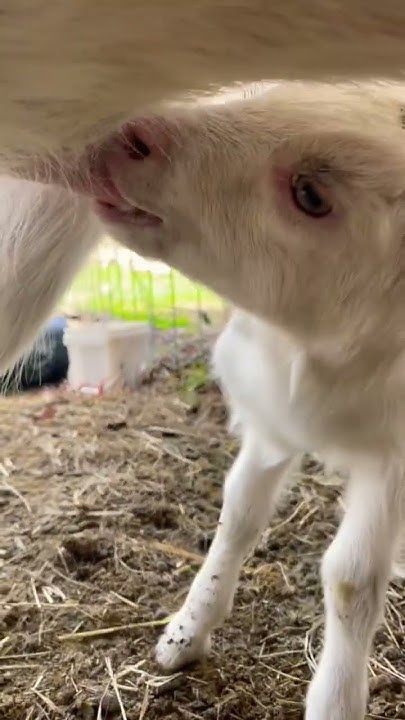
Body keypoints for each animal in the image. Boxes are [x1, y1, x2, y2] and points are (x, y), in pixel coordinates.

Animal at [71, 81, 405, 720]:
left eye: (310, 194)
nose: (129, 134)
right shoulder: (272, 414)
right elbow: (239, 513)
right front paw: (186, 631)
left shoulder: (394, 458)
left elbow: (351, 580)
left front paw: (335, 700)